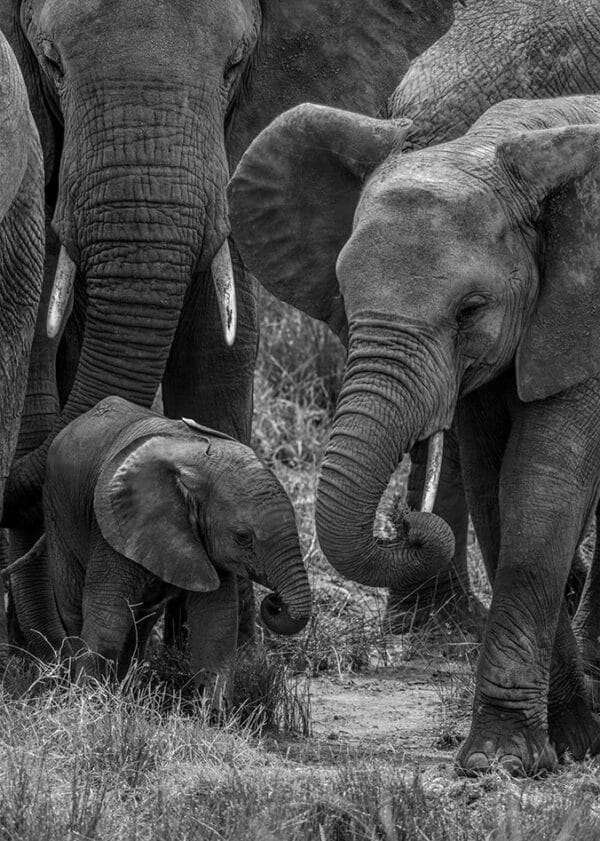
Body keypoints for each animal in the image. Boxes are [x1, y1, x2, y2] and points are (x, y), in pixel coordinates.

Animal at [16, 395, 311, 701]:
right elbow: (108, 618)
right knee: (79, 607)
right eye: (243, 537)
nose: (274, 601)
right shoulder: (114, 526)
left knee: (142, 620)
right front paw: (90, 701)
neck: (195, 470)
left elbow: (217, 625)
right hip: (58, 511)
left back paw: (125, 688)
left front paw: (214, 711)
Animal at [228, 93, 600, 774]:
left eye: (470, 311)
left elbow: (544, 484)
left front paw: (500, 762)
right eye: (344, 294)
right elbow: (496, 493)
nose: (404, 519)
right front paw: (561, 746)